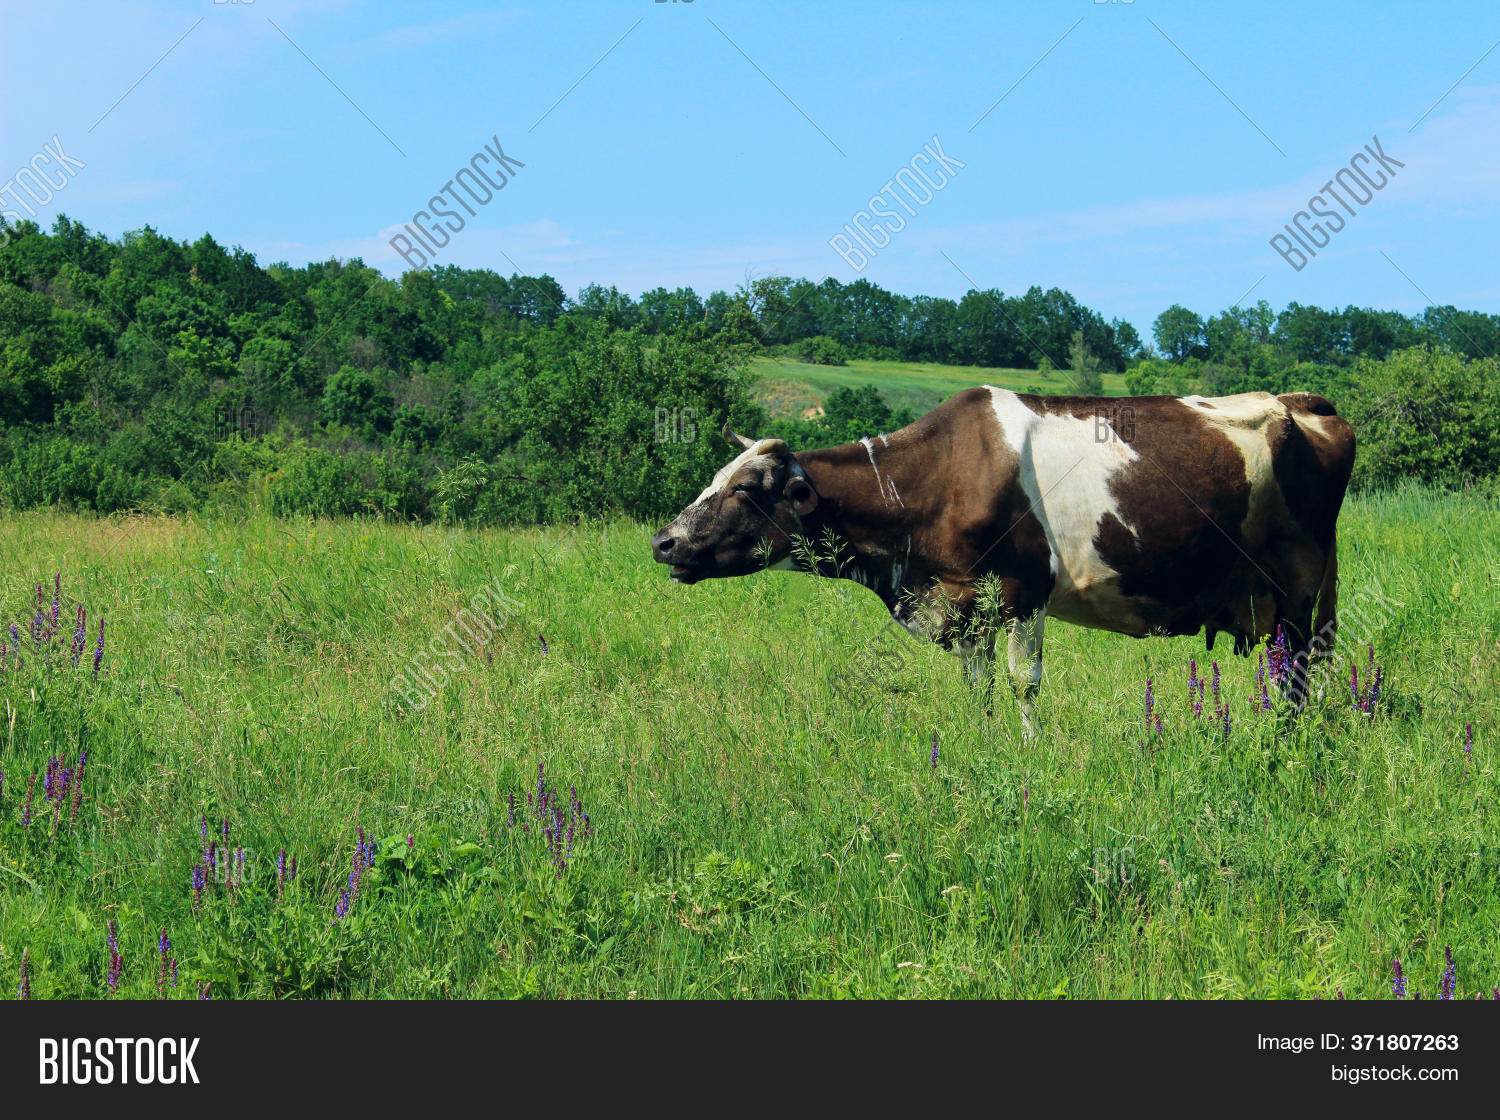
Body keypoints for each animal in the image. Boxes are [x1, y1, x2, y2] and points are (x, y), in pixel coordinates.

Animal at [650, 387, 1355, 736]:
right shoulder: (966, 602)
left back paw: (1287, 741)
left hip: (1300, 579)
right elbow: (978, 685)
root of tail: (1304, 403)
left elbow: (1024, 683)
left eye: (746, 488)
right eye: (715, 477)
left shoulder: (1023, 590)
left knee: (1299, 668)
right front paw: (983, 743)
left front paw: (1028, 750)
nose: (664, 542)